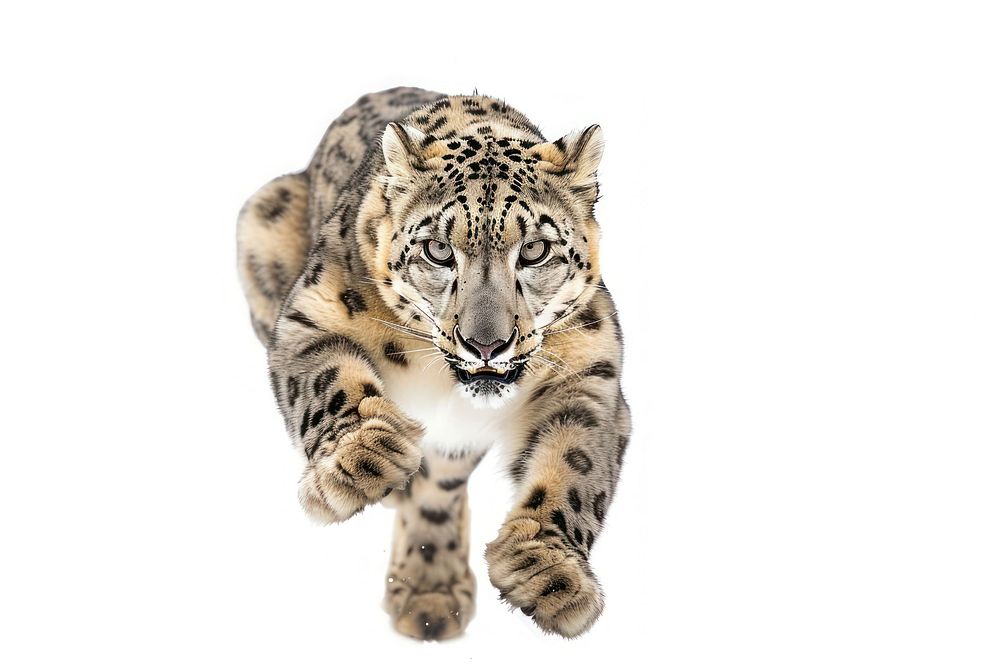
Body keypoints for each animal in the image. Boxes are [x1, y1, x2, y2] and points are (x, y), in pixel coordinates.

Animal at [236, 87, 631, 640]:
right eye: (438, 250)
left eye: (534, 249)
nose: (486, 344)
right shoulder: (309, 316)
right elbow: (330, 380)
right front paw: (361, 458)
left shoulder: (589, 372)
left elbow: (576, 463)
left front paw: (549, 570)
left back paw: (431, 596)